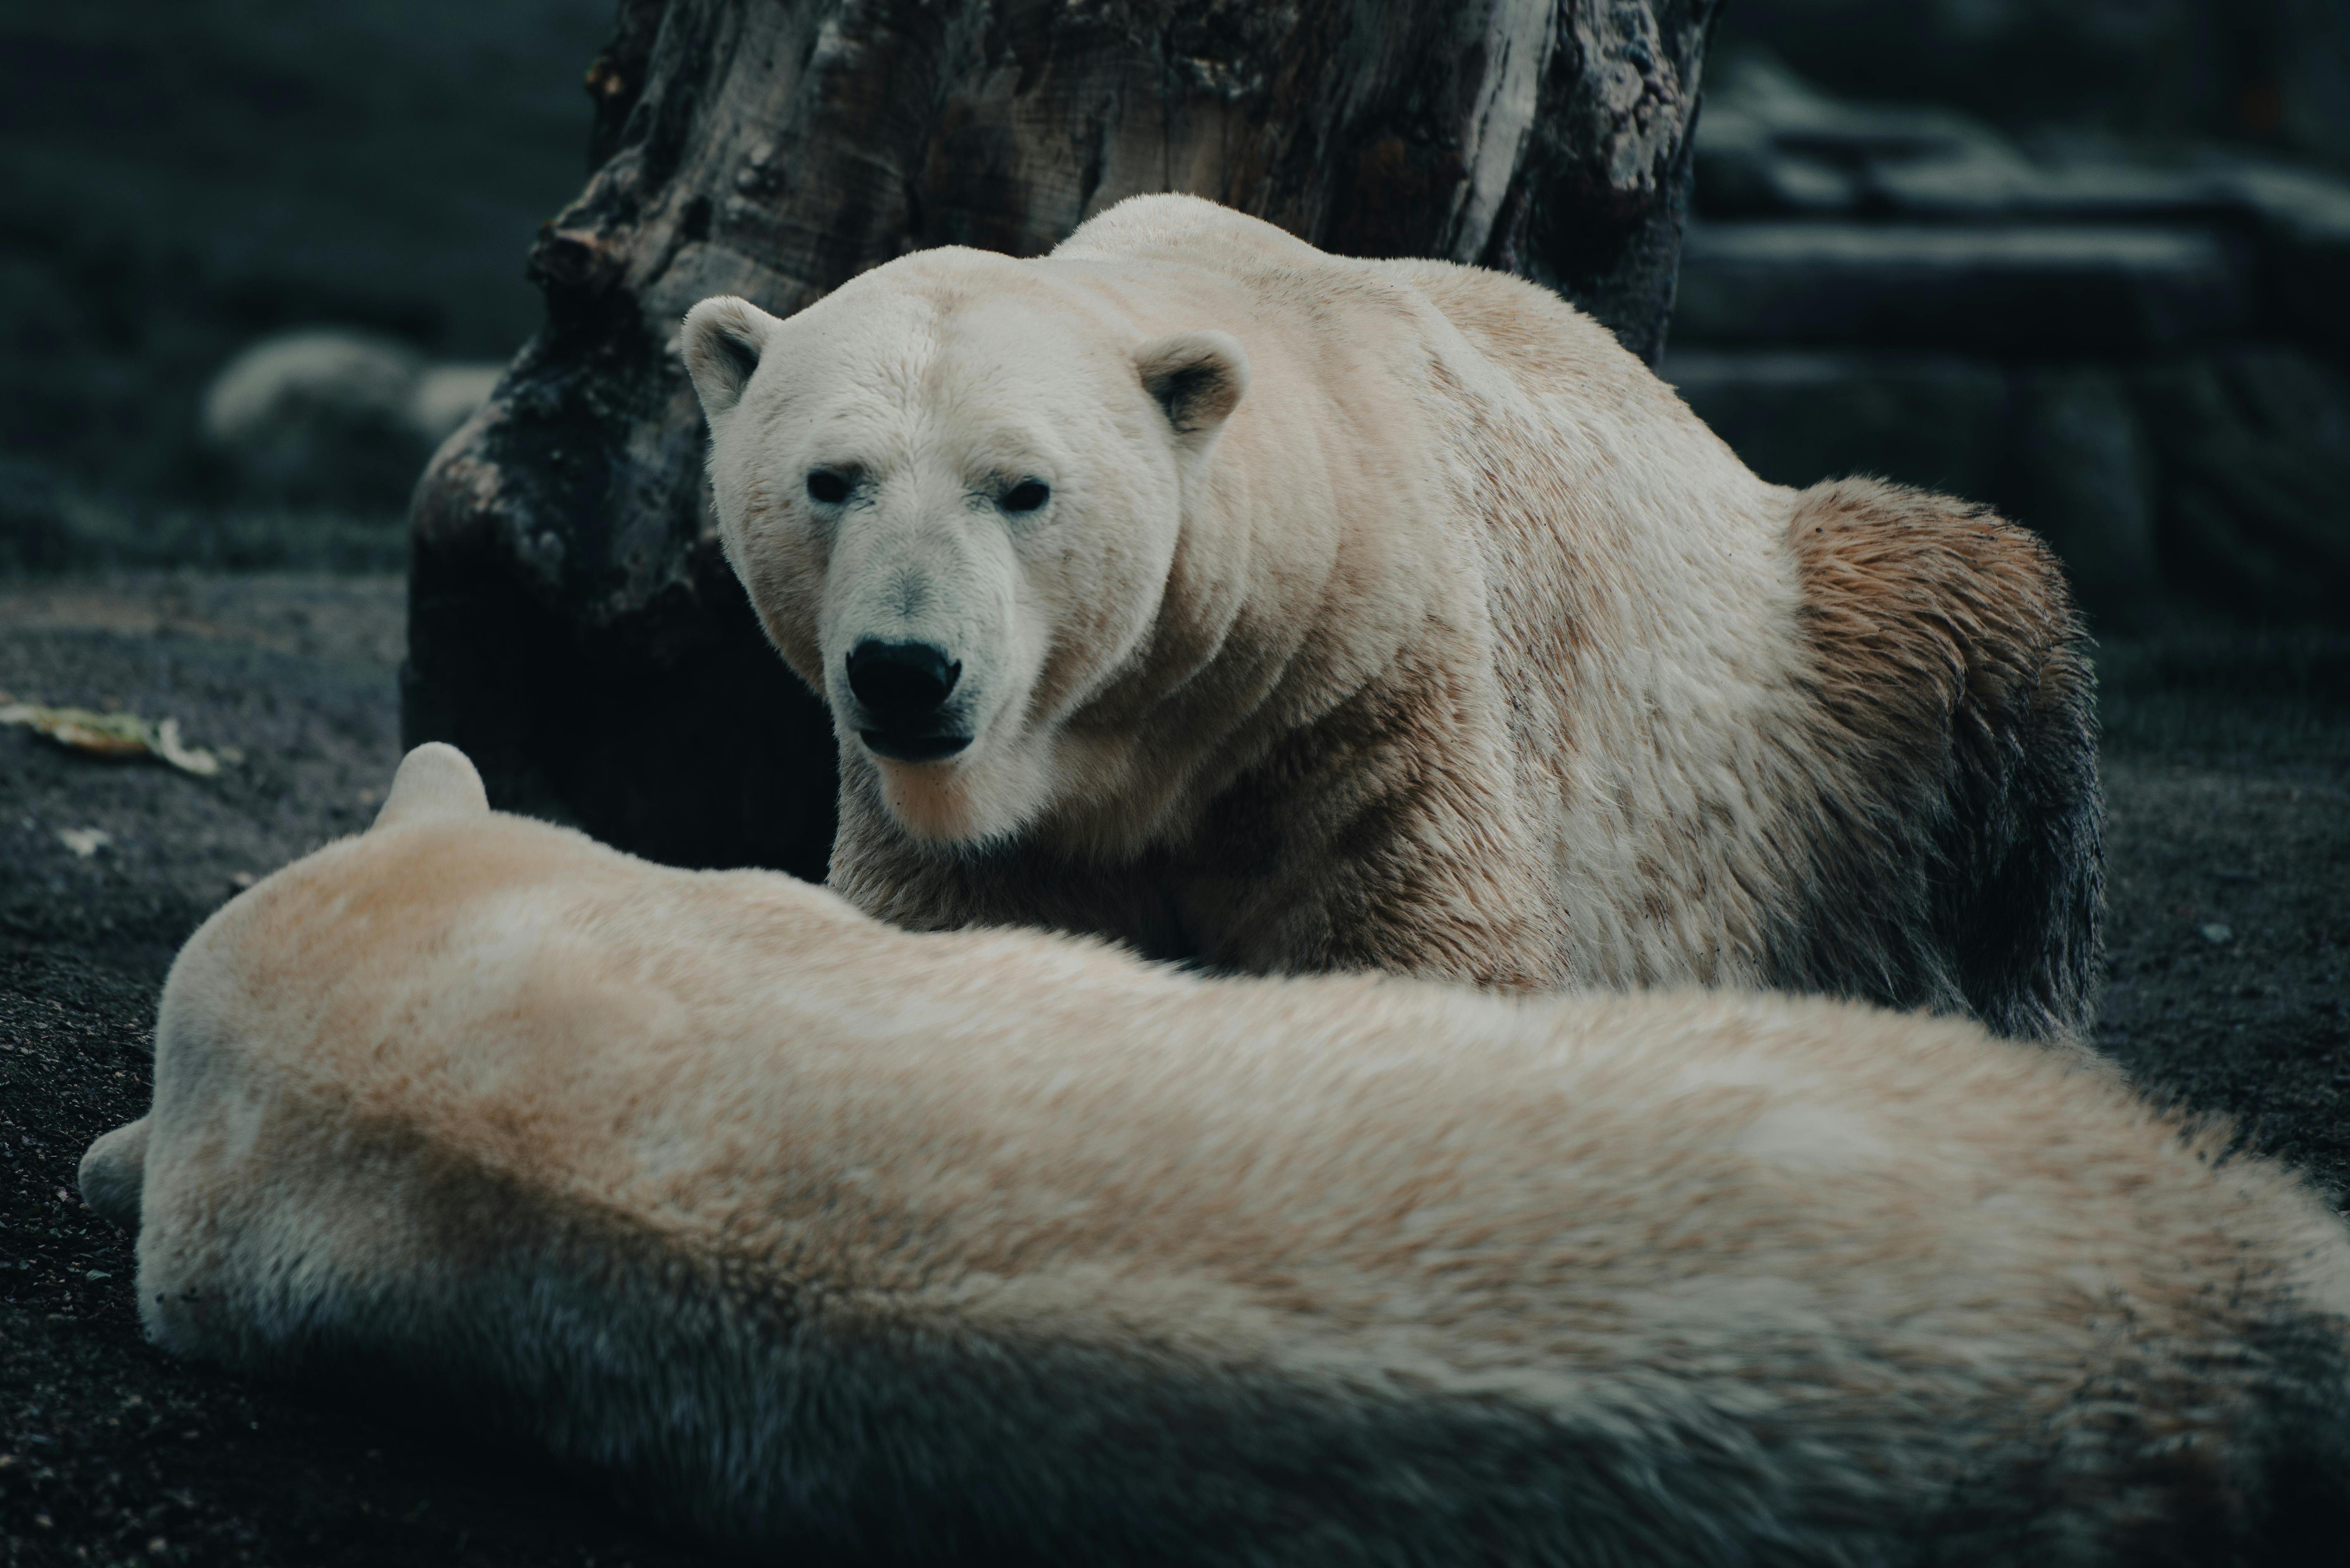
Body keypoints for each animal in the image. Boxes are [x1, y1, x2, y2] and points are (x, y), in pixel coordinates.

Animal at [681, 193, 2101, 1041]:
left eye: (1021, 487)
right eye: (830, 478)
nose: (905, 670)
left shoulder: (1363, 696)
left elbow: (1422, 949)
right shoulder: (964, 826)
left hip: (1822, 695)